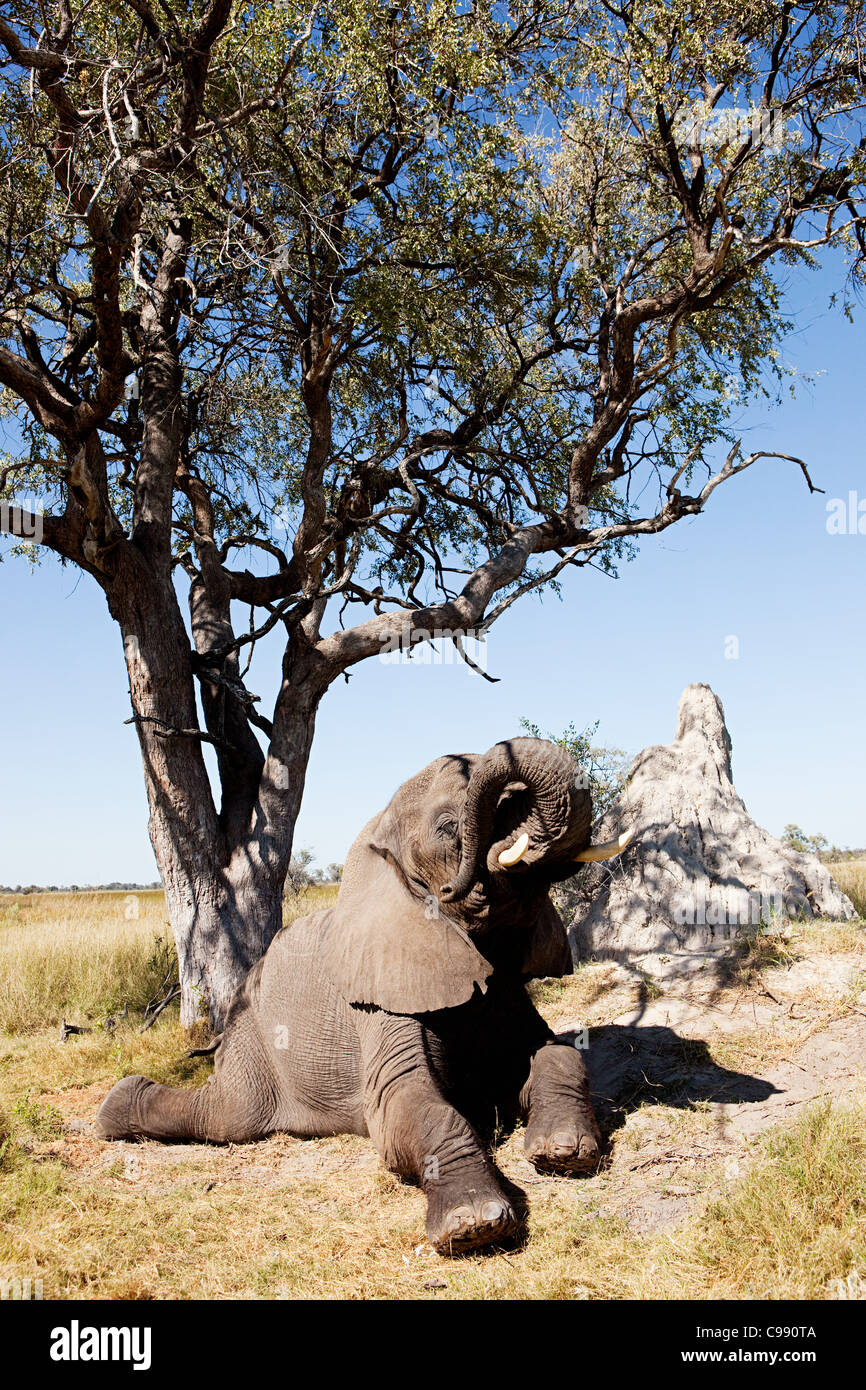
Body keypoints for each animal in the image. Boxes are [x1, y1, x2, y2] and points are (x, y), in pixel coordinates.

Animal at [96, 737, 633, 1254]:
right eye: (447, 828)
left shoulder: (503, 984)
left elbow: (555, 1052)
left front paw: (564, 1150)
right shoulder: (376, 999)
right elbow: (407, 1100)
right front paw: (474, 1224)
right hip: (254, 1039)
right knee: (229, 1115)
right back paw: (115, 1107)